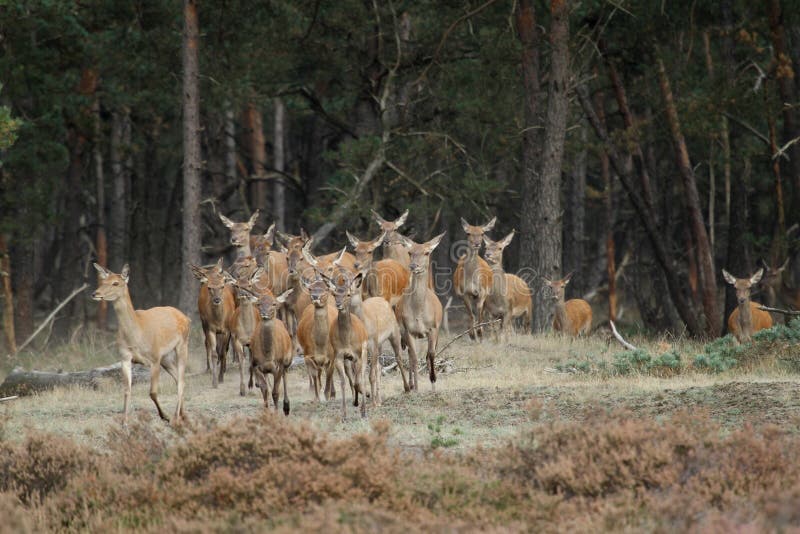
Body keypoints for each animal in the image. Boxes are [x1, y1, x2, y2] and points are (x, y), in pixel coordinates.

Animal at [91, 263, 189, 426]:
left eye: (115, 283)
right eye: (103, 281)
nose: (95, 293)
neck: (136, 336)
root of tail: (185, 317)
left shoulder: (154, 358)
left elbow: (152, 392)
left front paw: (165, 416)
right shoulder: (125, 357)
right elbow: (127, 390)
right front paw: (124, 422)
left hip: (182, 345)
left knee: (181, 380)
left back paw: (175, 418)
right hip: (166, 358)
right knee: (178, 379)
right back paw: (183, 414)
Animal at [190, 258, 237, 387]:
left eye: (222, 286)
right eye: (209, 287)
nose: (217, 300)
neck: (219, 319)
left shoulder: (226, 330)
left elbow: (222, 352)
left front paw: (221, 377)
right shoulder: (210, 328)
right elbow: (214, 353)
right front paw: (214, 380)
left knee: (225, 348)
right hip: (203, 323)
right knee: (207, 344)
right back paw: (210, 368)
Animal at [395, 233, 445, 392]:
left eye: (426, 252)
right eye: (410, 252)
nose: (413, 266)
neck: (418, 313)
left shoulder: (434, 328)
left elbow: (431, 354)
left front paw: (433, 381)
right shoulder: (408, 330)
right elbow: (415, 358)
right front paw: (416, 388)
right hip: (402, 331)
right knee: (410, 355)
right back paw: (410, 385)